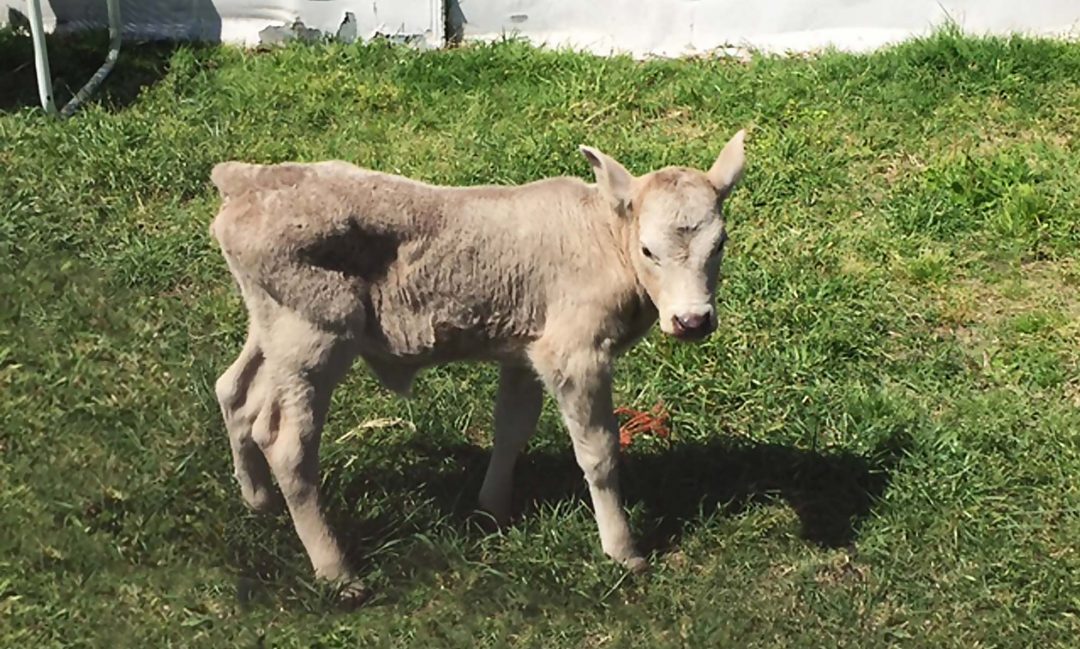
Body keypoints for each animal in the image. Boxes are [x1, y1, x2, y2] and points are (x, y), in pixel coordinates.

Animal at [209, 130, 747, 600]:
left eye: (719, 245)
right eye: (648, 250)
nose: (693, 320)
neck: (602, 236)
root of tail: (247, 178)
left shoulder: (526, 348)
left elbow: (511, 428)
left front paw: (493, 508)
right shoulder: (575, 352)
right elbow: (598, 453)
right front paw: (622, 550)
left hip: (272, 327)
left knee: (235, 392)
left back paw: (258, 501)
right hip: (313, 334)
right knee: (286, 444)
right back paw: (338, 573)